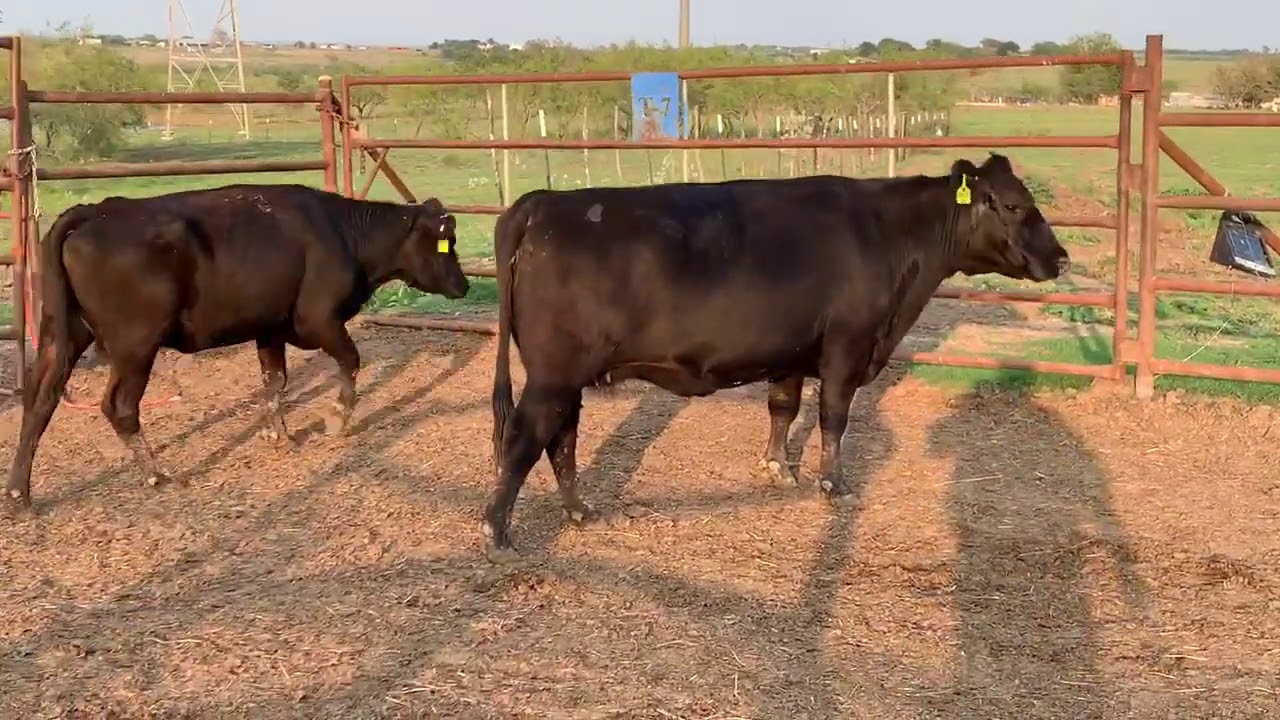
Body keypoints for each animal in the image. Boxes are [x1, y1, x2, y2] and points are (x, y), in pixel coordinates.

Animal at [6, 184, 471, 510]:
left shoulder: (271, 327)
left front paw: (279, 434)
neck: (342, 234)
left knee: (39, 399)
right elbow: (351, 359)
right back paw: (158, 475)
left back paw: (17, 494)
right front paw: (337, 418)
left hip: (63, 335)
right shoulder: (319, 320)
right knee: (118, 407)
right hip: (136, 344)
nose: (463, 284)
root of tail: (97, 210)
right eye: (445, 241)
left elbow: (275, 381)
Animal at [482, 153, 1069, 564]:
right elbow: (833, 418)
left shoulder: (790, 351)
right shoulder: (847, 347)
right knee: (525, 438)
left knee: (561, 438)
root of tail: (543, 202)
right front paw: (834, 485)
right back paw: (498, 533)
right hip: (553, 374)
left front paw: (779, 469)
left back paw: (580, 512)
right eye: (1013, 205)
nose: (1061, 258)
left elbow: (783, 408)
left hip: (567, 377)